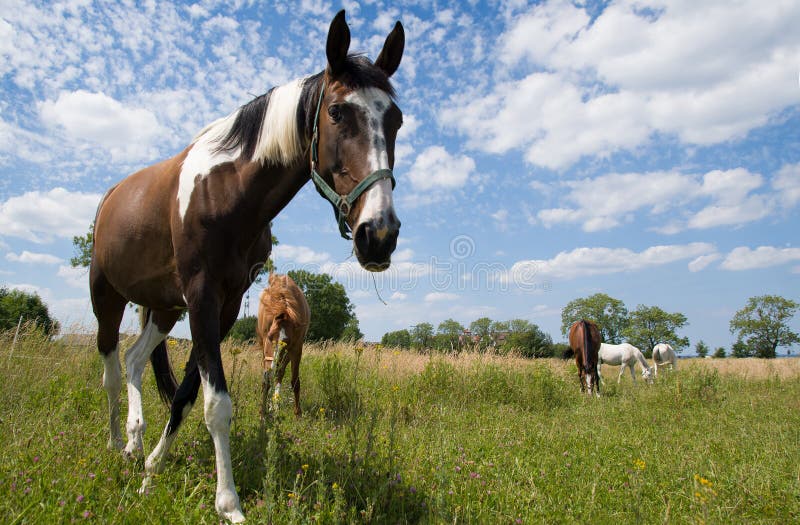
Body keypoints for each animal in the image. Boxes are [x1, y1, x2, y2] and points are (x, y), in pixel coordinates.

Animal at [257, 273, 310, 417]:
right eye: (270, 337)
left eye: (287, 341)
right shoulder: (266, 344)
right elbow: (266, 380)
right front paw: (262, 412)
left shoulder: (295, 348)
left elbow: (295, 381)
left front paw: (298, 413)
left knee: (279, 373)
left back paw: (275, 405)